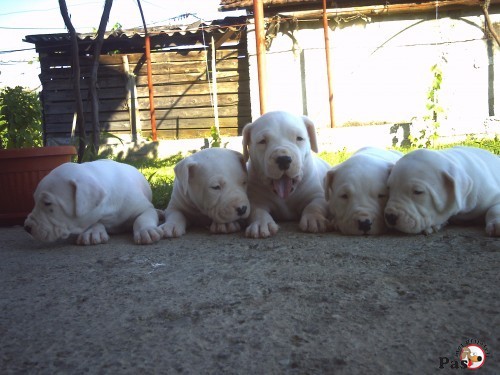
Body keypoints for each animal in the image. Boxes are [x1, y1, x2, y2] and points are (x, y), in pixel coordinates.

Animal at [23, 159, 162, 245]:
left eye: (47, 203)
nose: (26, 228)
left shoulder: (145, 207)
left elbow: (143, 217)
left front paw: (146, 230)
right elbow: (93, 221)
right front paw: (92, 232)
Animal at [241, 110, 328, 238]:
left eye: (299, 138)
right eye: (262, 141)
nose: (283, 159)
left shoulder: (318, 194)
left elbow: (315, 205)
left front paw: (314, 219)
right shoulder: (255, 200)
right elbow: (257, 211)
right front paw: (262, 224)